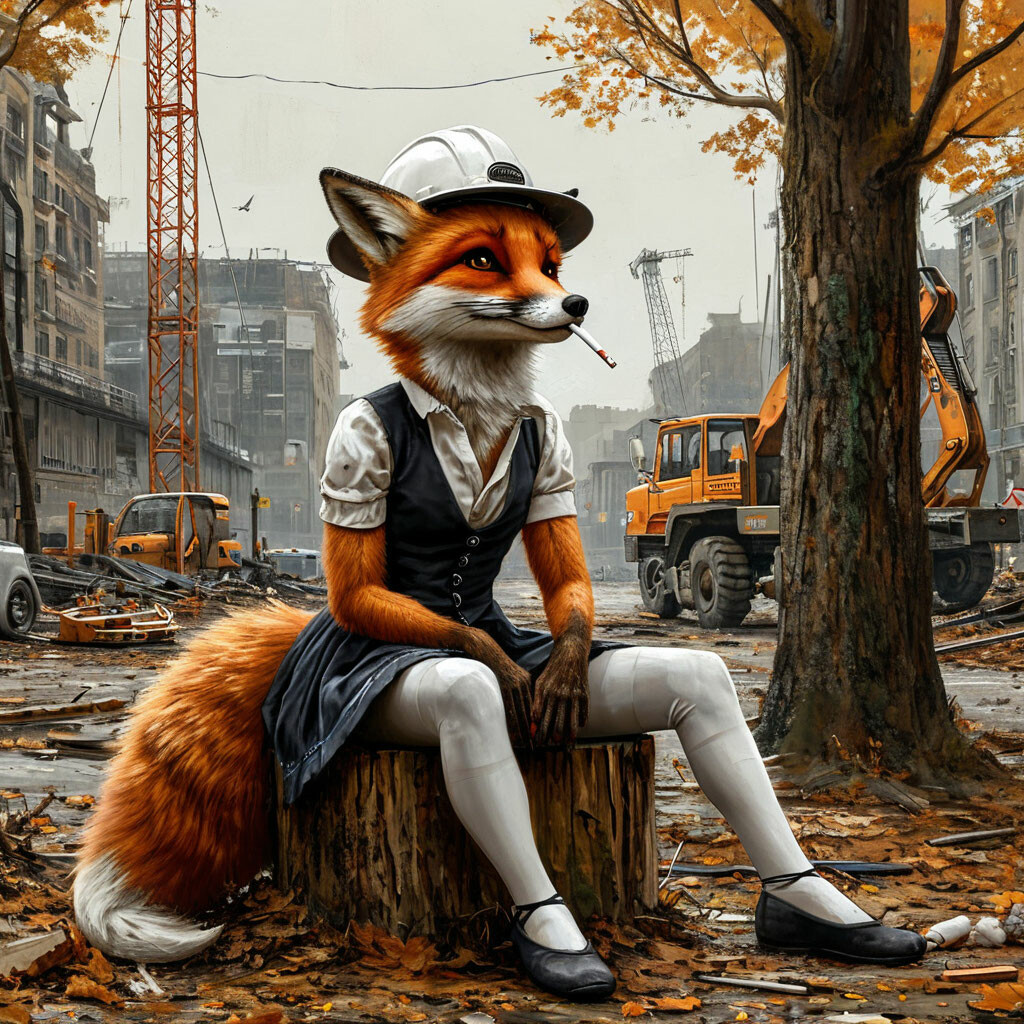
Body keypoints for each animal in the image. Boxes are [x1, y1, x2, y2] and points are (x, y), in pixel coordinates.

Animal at [73, 165, 598, 962]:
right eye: (483, 259)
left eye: (553, 264)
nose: (577, 303)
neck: (469, 407)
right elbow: (400, 610)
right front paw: (499, 662)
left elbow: (565, 589)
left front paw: (556, 670)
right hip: (404, 696)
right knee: (470, 699)